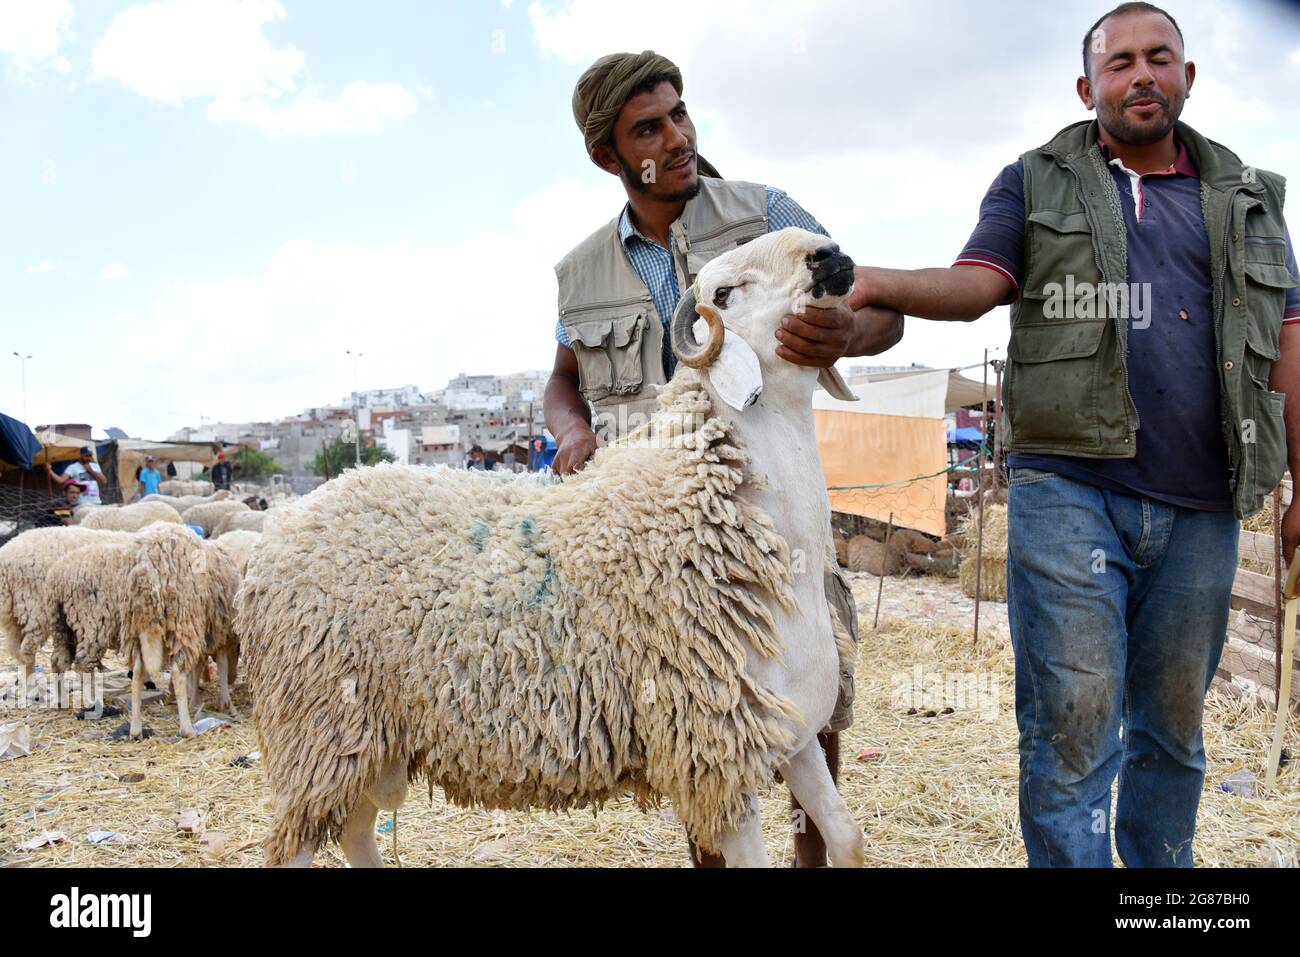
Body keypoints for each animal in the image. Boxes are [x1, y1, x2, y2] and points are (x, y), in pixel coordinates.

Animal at [238, 227, 865, 868]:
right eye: (724, 291)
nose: (828, 255)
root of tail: (275, 535)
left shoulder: (795, 735)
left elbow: (847, 836)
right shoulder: (716, 757)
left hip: (368, 743)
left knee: (356, 830)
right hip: (317, 730)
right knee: (298, 845)